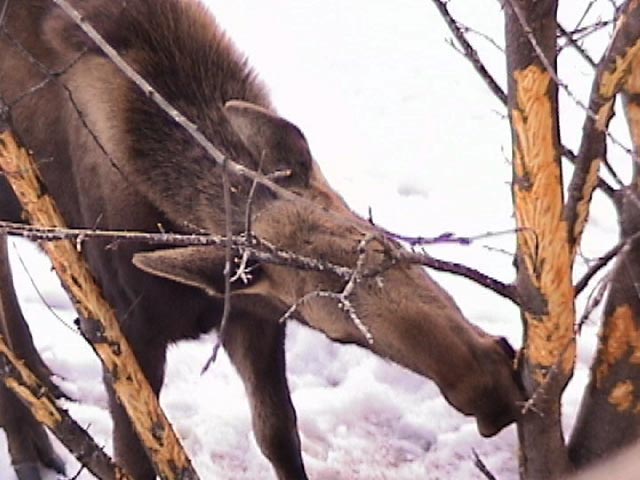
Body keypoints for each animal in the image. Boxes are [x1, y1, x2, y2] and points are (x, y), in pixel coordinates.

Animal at [0, 1, 523, 479]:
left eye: (386, 246)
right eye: (338, 333)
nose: (491, 389)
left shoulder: (256, 314)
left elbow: (277, 432)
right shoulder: (128, 327)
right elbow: (135, 455)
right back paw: (30, 450)